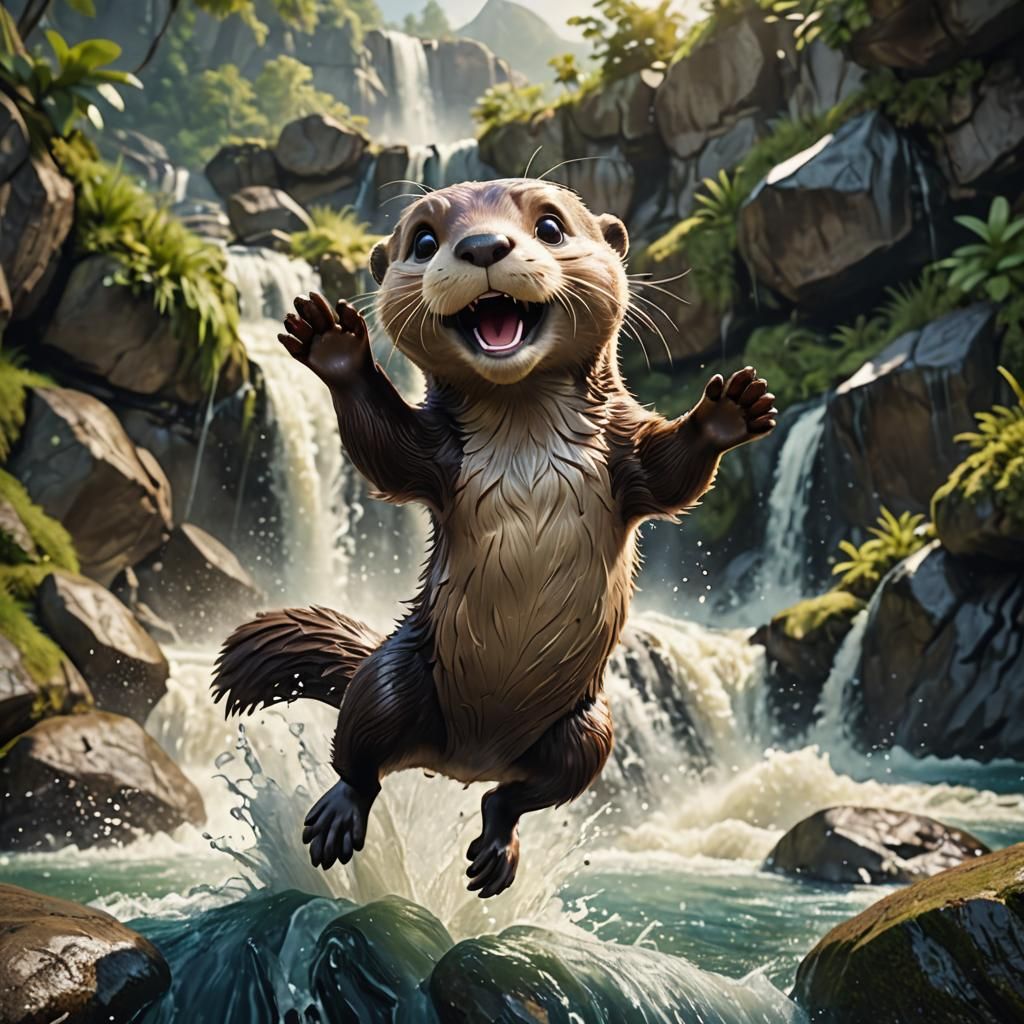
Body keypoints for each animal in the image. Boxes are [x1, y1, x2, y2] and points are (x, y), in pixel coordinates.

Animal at [212, 178, 776, 898]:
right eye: (424, 240)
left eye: (551, 226)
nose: (482, 245)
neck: (526, 444)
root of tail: (465, 757)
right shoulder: (436, 456)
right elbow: (384, 452)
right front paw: (335, 347)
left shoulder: (622, 458)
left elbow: (671, 476)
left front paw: (728, 411)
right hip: (395, 678)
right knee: (359, 754)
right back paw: (340, 815)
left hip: (585, 728)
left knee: (522, 791)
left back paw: (495, 849)